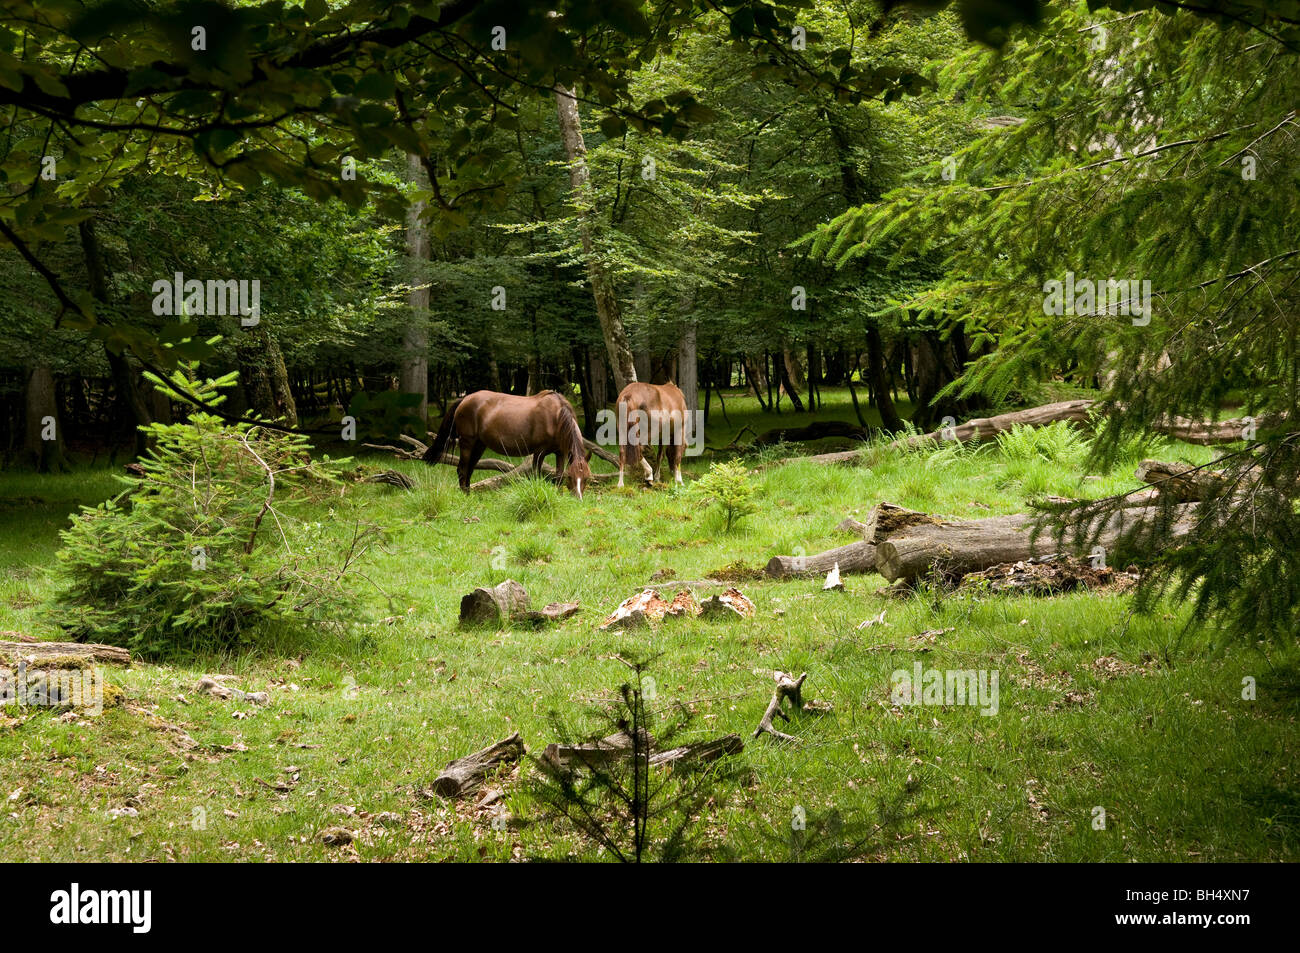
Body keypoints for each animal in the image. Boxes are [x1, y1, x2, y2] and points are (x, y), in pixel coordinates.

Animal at [423, 390, 593, 498]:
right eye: (571, 477)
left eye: (586, 478)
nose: (578, 499)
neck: (555, 417)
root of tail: (464, 399)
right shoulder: (539, 452)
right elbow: (536, 475)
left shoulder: (560, 452)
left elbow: (558, 476)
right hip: (467, 442)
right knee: (462, 470)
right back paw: (465, 496)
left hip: (479, 445)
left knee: (469, 470)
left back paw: (469, 494)